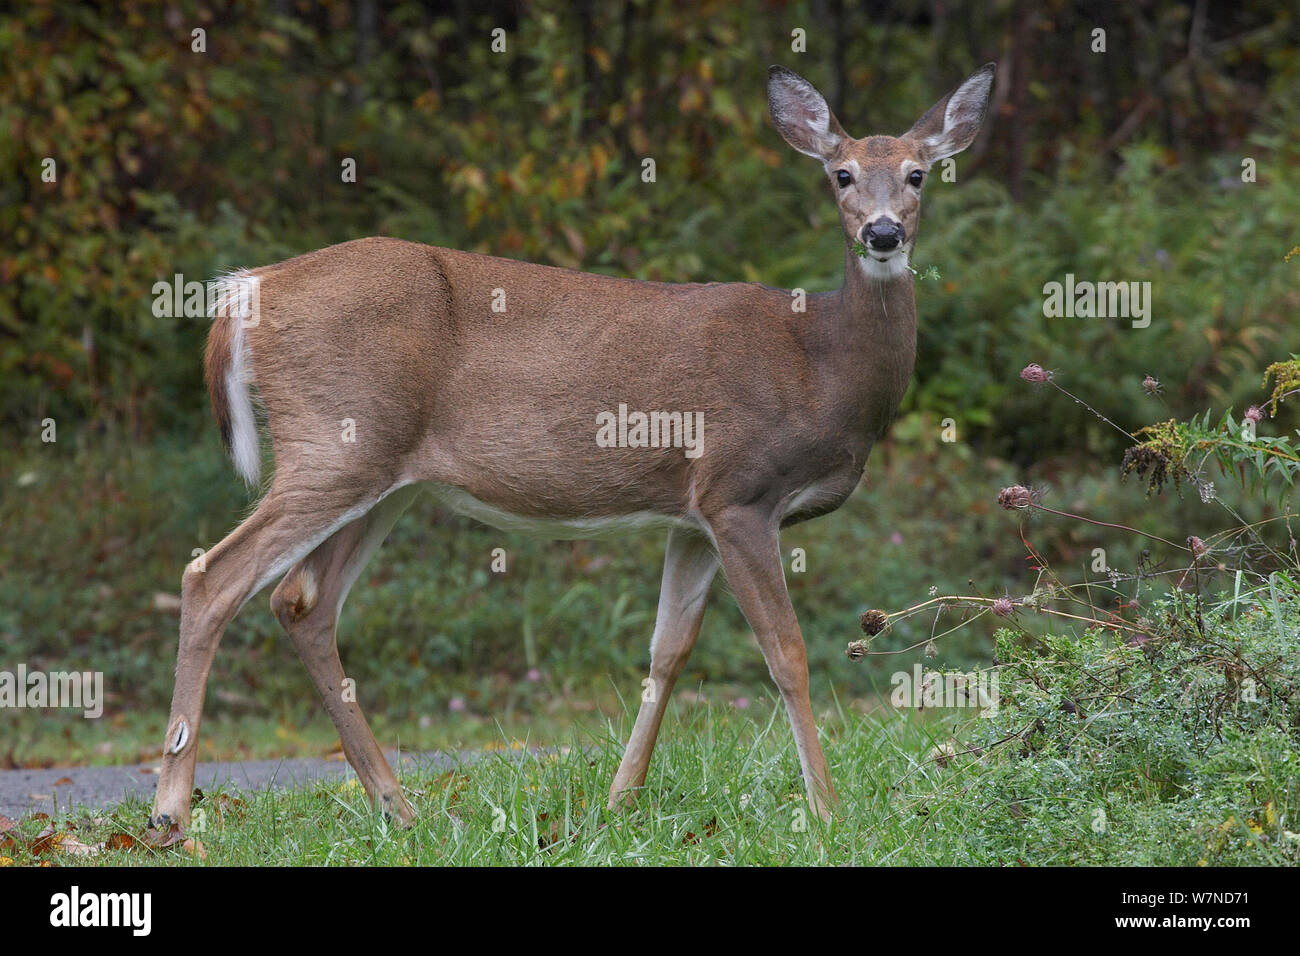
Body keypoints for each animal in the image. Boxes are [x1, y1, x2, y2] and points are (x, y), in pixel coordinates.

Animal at [148, 62, 996, 833]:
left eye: (918, 174)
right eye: (842, 174)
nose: (882, 232)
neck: (820, 361)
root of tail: (246, 288)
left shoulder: (693, 514)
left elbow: (667, 651)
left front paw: (621, 799)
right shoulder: (741, 491)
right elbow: (784, 653)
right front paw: (825, 810)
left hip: (385, 477)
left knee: (302, 603)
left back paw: (399, 807)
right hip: (334, 444)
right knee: (212, 577)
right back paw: (171, 811)